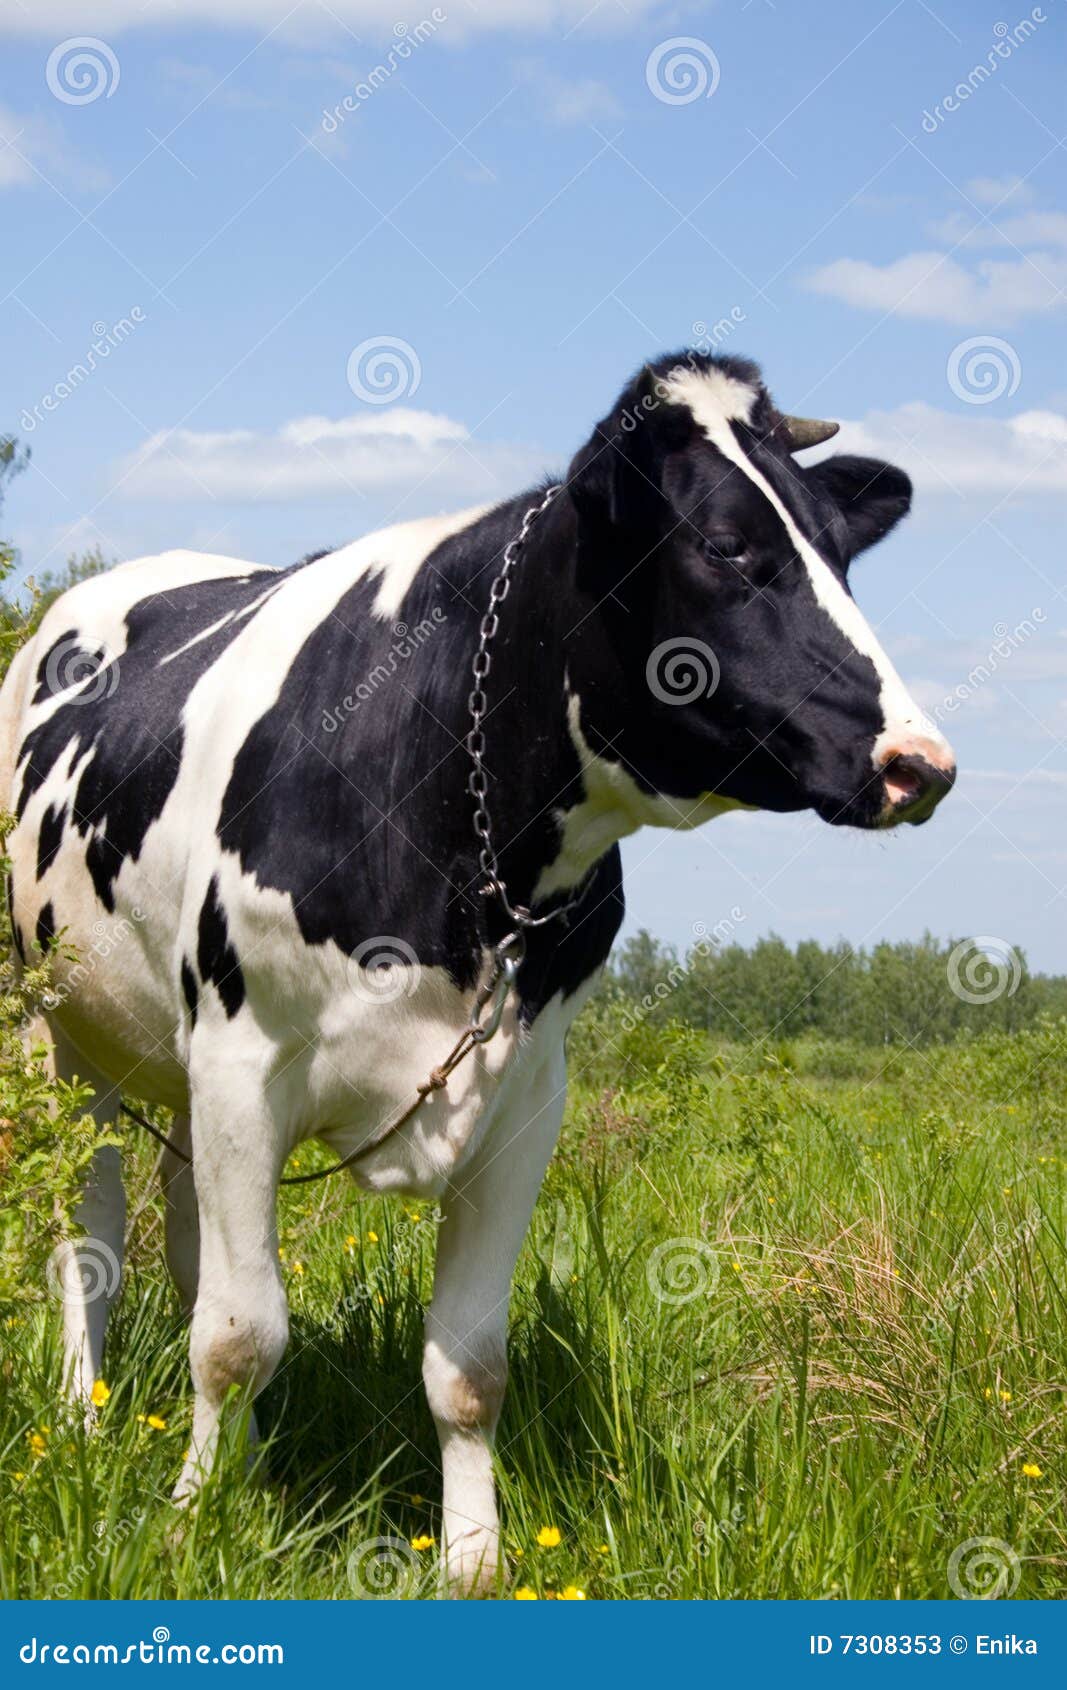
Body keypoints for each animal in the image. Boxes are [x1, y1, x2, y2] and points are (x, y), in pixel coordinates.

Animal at [0, 351, 955, 1593]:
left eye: (839, 551)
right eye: (722, 547)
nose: (916, 763)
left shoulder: (523, 1092)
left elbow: (464, 1363)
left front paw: (470, 1555)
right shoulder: (243, 1062)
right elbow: (238, 1333)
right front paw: (191, 1522)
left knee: (185, 1235)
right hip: (61, 1036)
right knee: (94, 1235)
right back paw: (87, 1415)